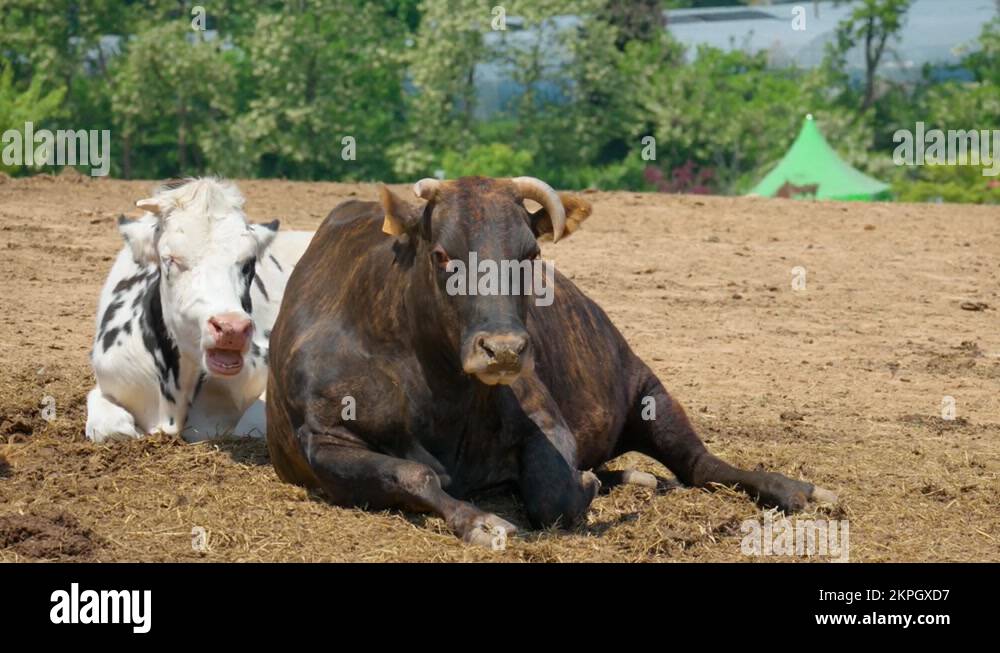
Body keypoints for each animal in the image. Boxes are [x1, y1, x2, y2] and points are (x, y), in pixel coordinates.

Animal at [266, 176, 837, 547]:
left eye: (530, 255)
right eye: (442, 255)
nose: (503, 350)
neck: (434, 386)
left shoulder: (544, 417)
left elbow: (554, 492)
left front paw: (582, 487)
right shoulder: (327, 441)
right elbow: (413, 474)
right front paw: (482, 522)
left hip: (648, 393)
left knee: (701, 464)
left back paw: (797, 490)